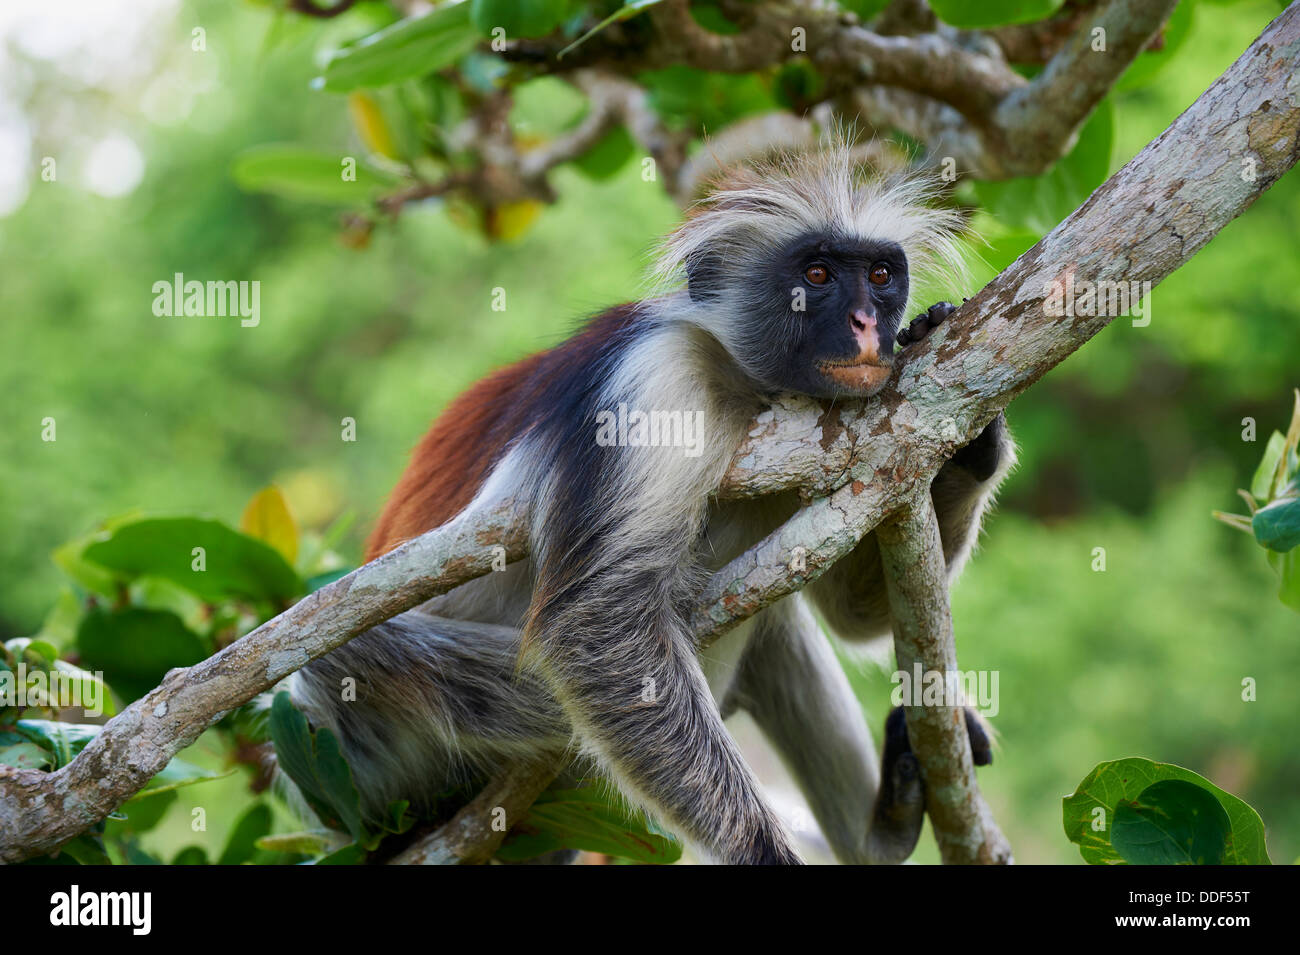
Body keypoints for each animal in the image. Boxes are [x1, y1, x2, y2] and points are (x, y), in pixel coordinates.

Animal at [289, 145, 1015, 865]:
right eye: (817, 274)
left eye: (881, 275)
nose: (867, 324)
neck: (747, 387)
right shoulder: (654, 380)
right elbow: (596, 621)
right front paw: (763, 851)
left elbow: (854, 615)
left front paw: (973, 441)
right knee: (344, 657)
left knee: (778, 626)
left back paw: (886, 823)